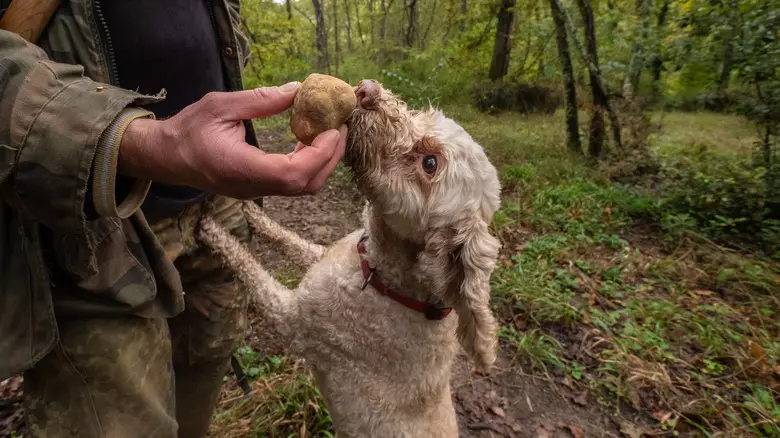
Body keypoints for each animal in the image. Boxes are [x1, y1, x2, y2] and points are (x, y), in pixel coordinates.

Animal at [198, 79, 502, 438]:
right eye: (421, 115)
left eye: (430, 163)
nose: (367, 90)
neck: (379, 277)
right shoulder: (323, 255)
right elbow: (289, 239)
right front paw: (252, 213)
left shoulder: (295, 321)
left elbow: (250, 269)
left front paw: (212, 231)